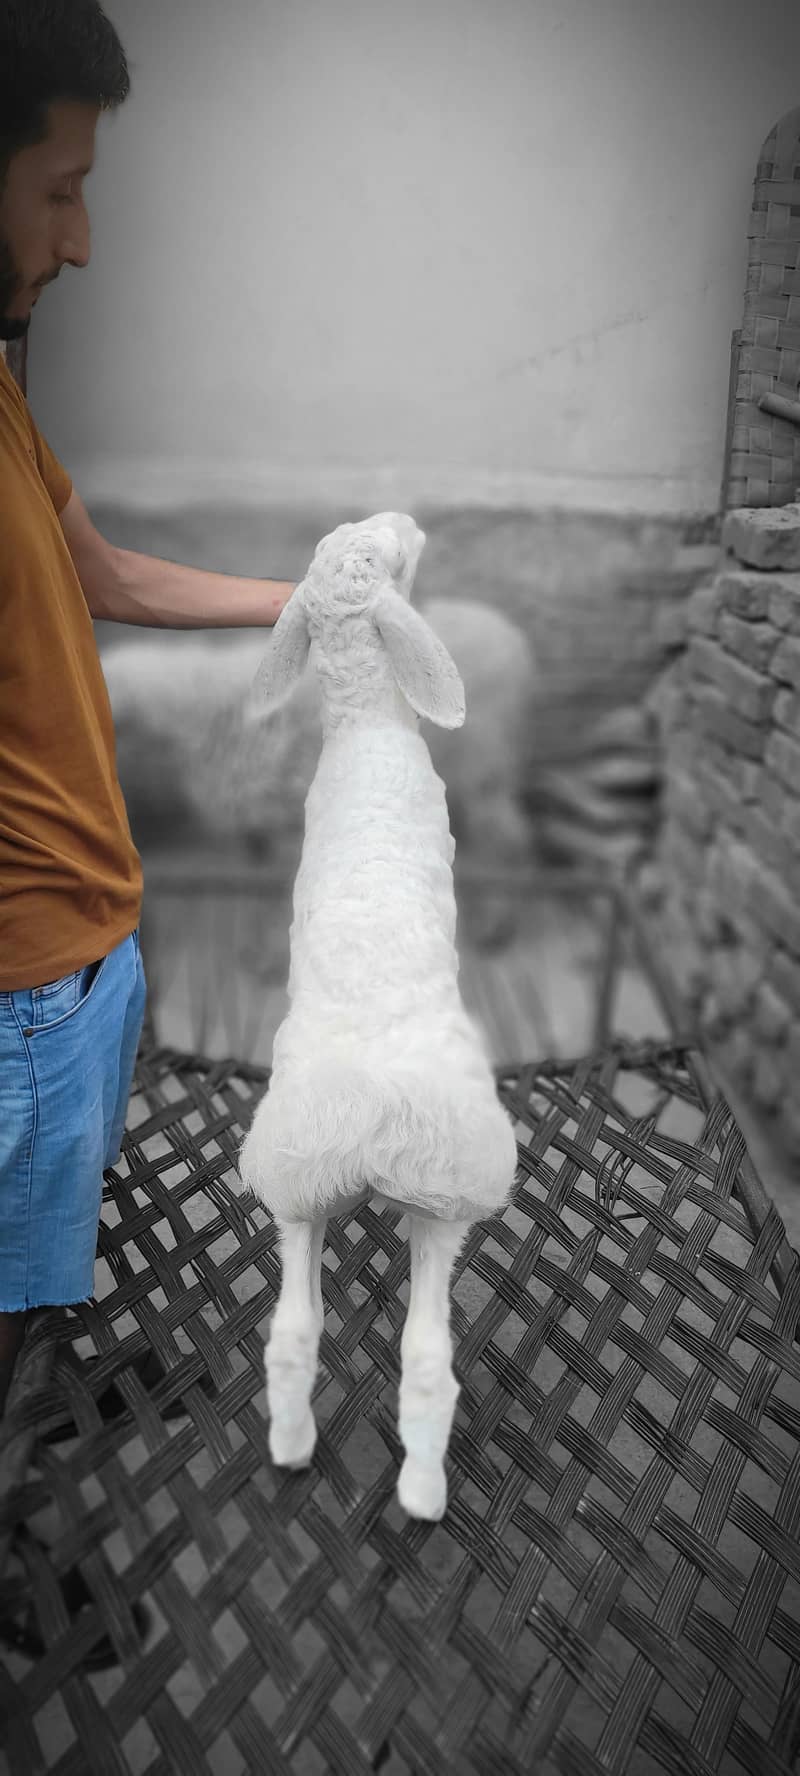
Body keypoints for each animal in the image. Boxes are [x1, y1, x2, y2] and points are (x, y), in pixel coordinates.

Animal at [237, 512, 519, 1521]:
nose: (408, 522)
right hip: (450, 1201)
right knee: (430, 1358)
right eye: (393, 559)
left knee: (292, 1333)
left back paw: (289, 1449)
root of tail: (366, 1118)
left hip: (294, 1186)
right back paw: (426, 1494)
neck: (366, 717)